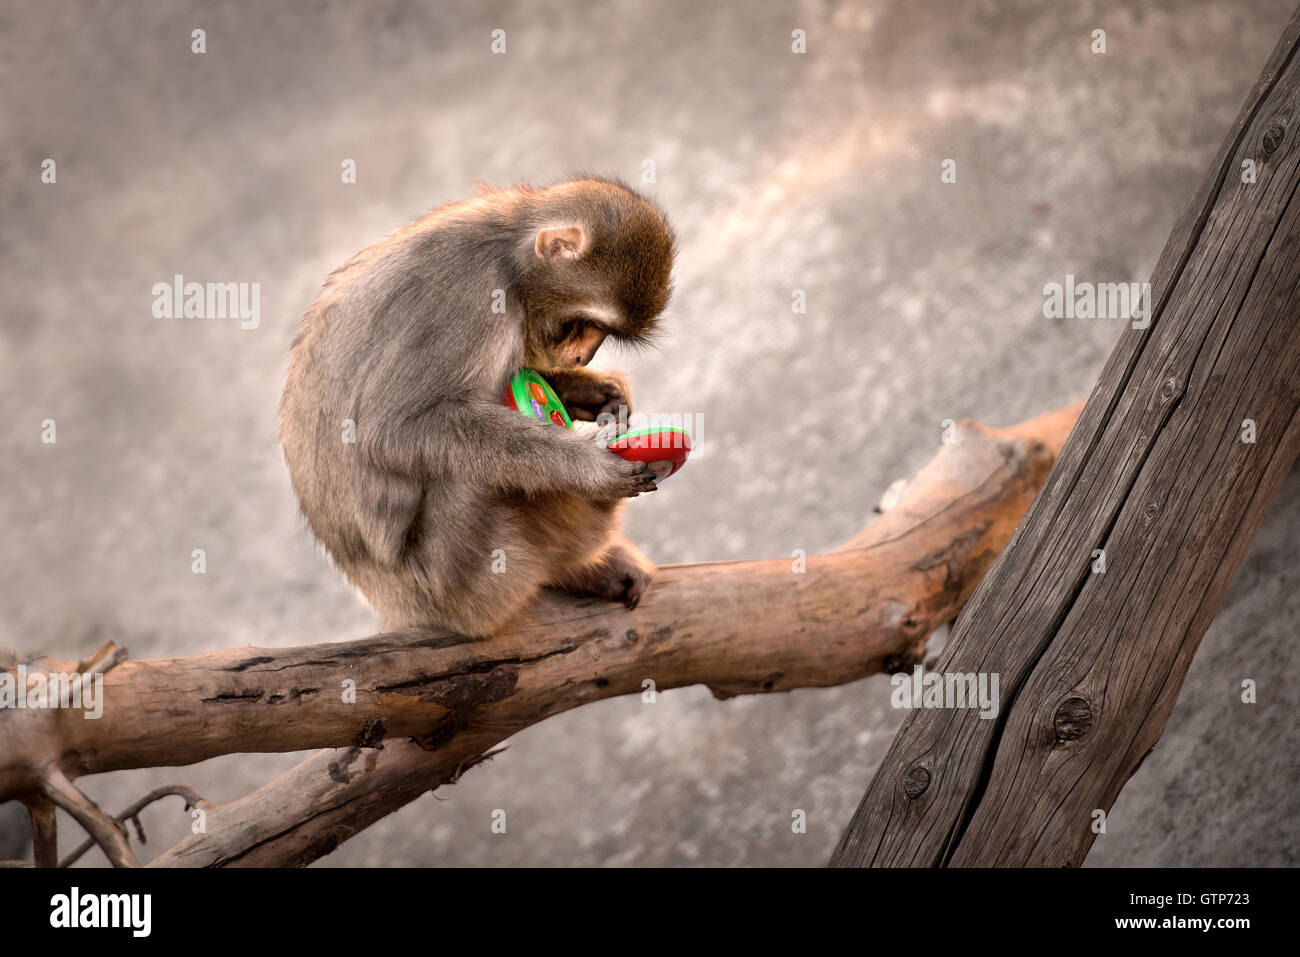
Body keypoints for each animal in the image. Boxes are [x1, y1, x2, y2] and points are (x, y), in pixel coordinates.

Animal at [279, 177, 676, 638]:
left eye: (601, 332)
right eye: (584, 324)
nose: (582, 358)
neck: (508, 256)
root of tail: (404, 609)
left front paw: (589, 392)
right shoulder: (470, 293)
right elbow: (394, 429)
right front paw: (589, 463)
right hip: (466, 579)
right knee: (467, 475)